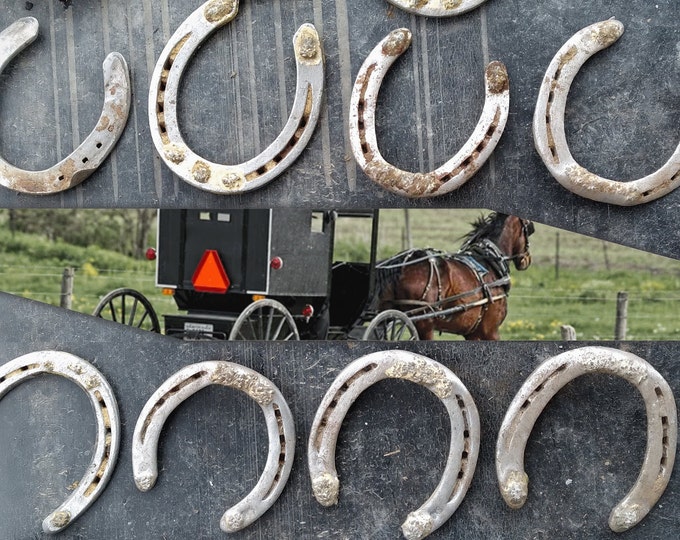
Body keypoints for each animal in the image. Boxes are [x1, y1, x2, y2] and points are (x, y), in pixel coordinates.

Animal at [377, 213, 534, 340]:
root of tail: (401, 265)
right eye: (529, 228)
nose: (527, 259)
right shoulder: (490, 332)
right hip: (424, 323)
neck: (490, 261)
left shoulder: (473, 334)